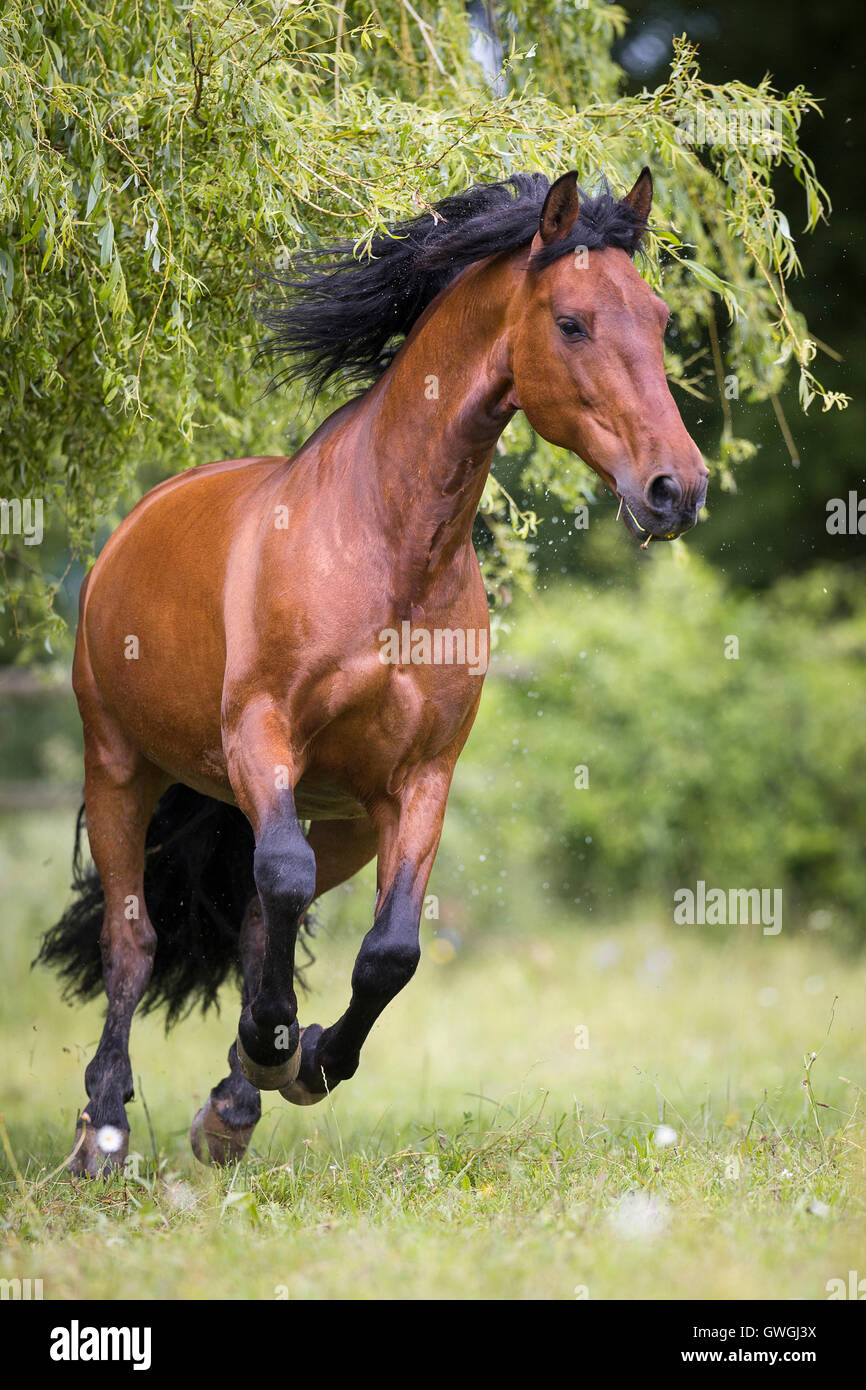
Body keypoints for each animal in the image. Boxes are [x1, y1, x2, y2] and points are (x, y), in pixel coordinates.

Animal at [40, 168, 708, 1175]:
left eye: (663, 320)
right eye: (573, 323)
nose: (677, 490)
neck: (389, 550)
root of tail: (138, 522)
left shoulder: (417, 779)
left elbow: (389, 949)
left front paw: (304, 1060)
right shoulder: (262, 736)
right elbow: (273, 883)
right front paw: (276, 1047)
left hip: (340, 819)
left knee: (253, 919)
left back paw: (235, 1106)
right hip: (124, 768)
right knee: (136, 939)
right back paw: (105, 1130)